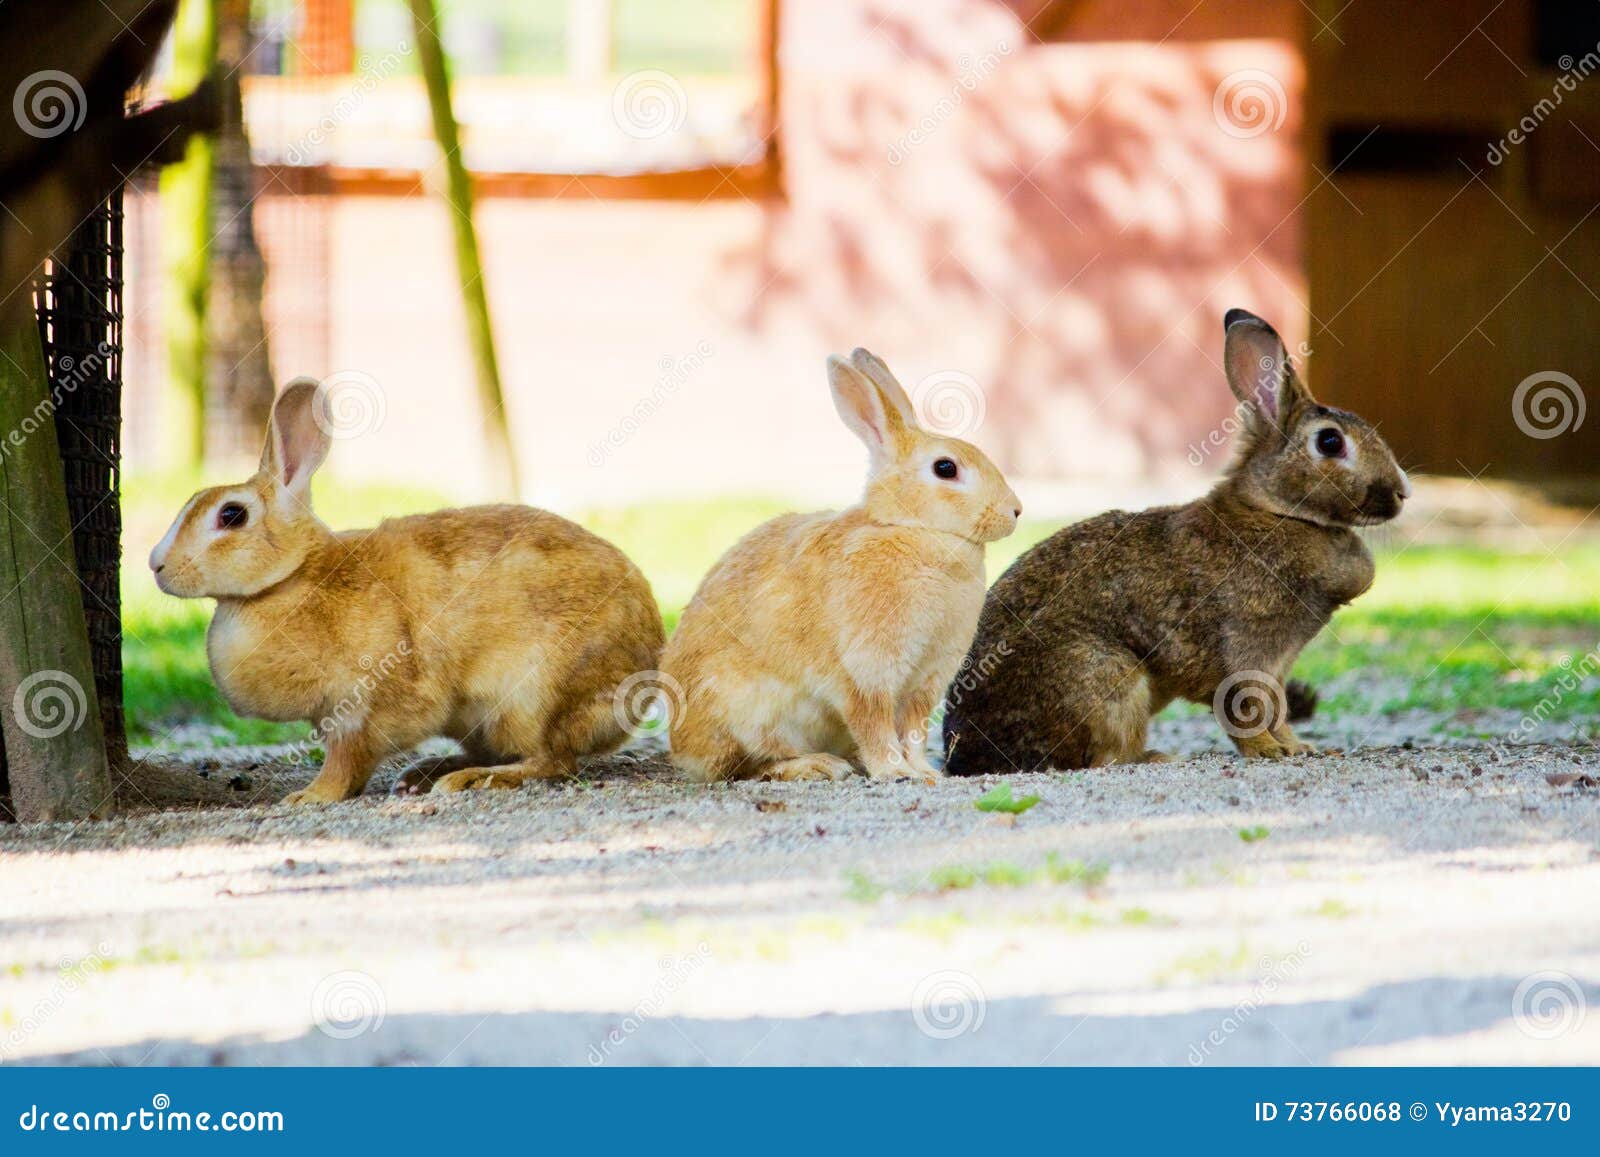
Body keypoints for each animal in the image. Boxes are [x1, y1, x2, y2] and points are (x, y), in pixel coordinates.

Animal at [148, 378, 666, 804]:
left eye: (232, 516)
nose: (156, 565)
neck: (291, 578)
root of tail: (650, 658)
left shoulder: (362, 706)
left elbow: (347, 761)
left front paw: (307, 797)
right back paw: (425, 774)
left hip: (532, 696)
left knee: (551, 760)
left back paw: (467, 780)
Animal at [661, 348, 1021, 784]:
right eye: (945, 468)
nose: (1015, 511)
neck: (914, 530)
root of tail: (683, 748)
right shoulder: (867, 672)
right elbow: (874, 725)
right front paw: (894, 773)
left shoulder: (926, 681)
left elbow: (913, 731)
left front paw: (924, 773)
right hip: (748, 714)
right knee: (750, 764)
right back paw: (818, 765)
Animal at [942, 308, 1409, 775]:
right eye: (1330, 441)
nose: (1403, 491)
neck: (1280, 513)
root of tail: (964, 753)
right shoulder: (1245, 648)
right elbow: (1247, 707)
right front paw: (1269, 751)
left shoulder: (1278, 664)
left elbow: (1277, 708)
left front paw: (1298, 747)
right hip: (1105, 677)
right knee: (1104, 754)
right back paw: (1157, 756)